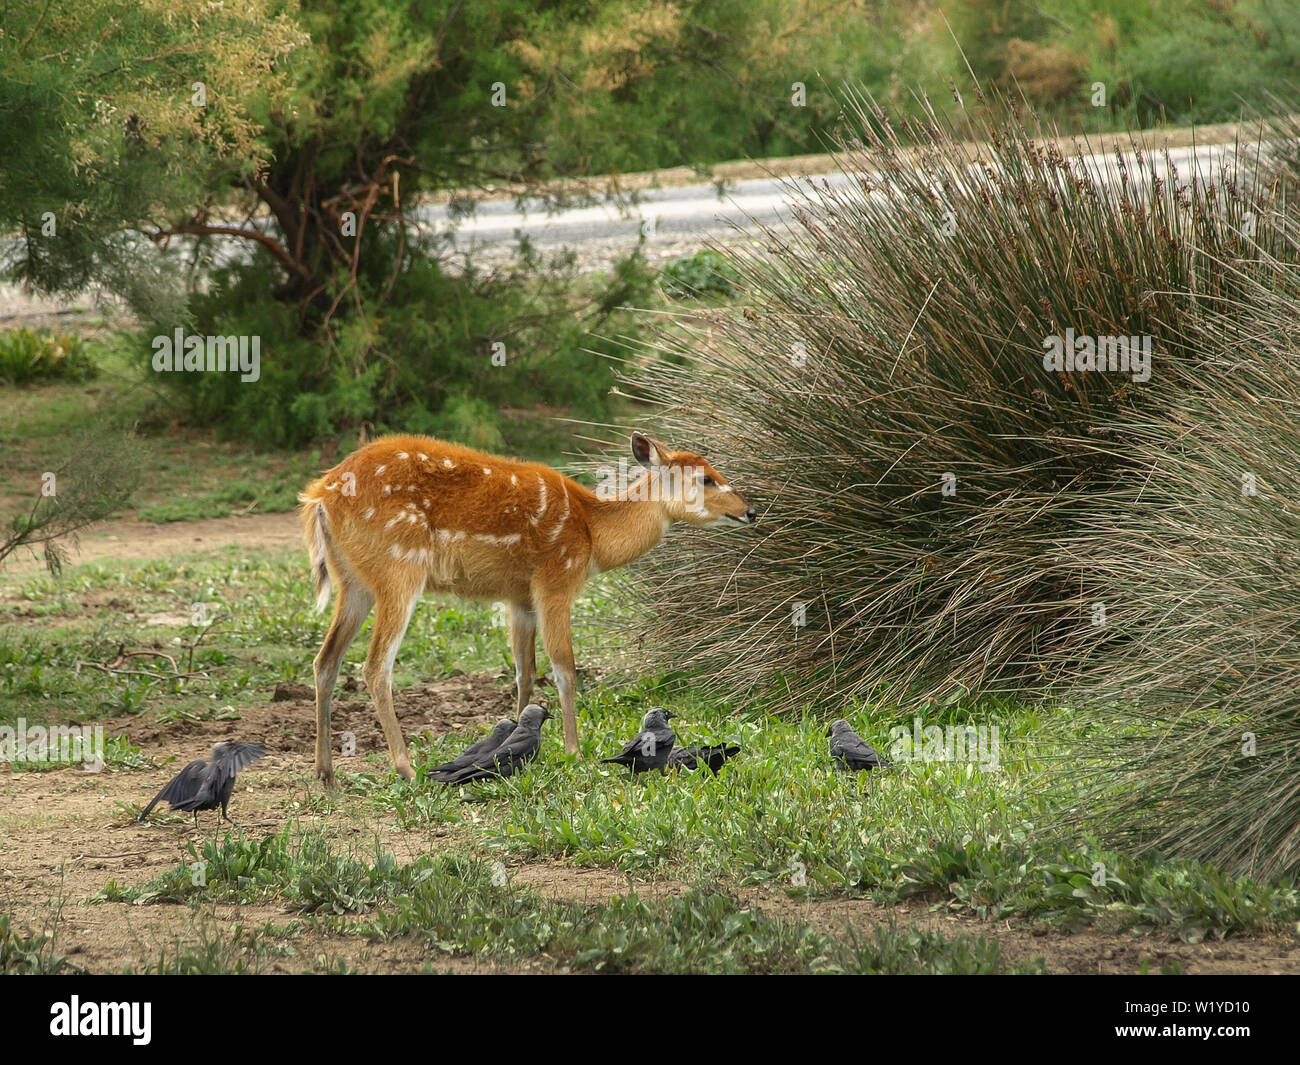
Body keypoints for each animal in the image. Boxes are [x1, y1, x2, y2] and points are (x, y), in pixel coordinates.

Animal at [299, 431, 755, 786]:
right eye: (706, 478)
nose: (749, 510)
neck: (593, 534)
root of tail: (319, 499)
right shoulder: (555, 579)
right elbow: (564, 667)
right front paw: (573, 751)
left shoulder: (518, 597)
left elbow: (524, 671)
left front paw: (519, 744)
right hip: (399, 568)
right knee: (376, 665)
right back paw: (406, 769)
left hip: (353, 581)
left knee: (325, 660)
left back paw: (326, 774)